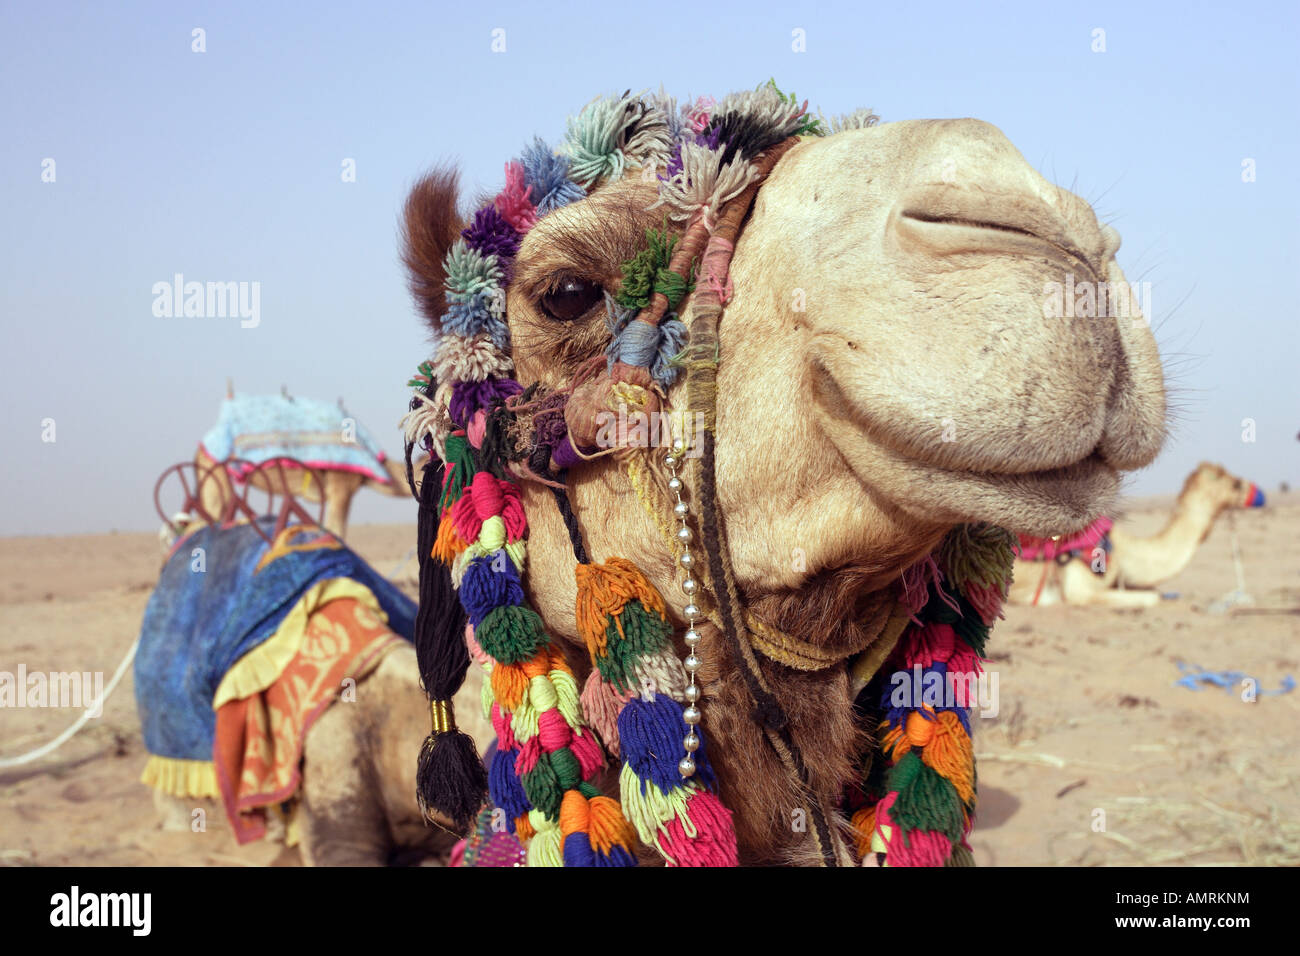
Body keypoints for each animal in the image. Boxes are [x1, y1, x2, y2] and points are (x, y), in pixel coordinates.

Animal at [1008, 462, 1266, 607]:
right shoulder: (1078, 590)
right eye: (1236, 484)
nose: (1260, 493)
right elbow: (1152, 598)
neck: (1122, 550)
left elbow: (1156, 592)